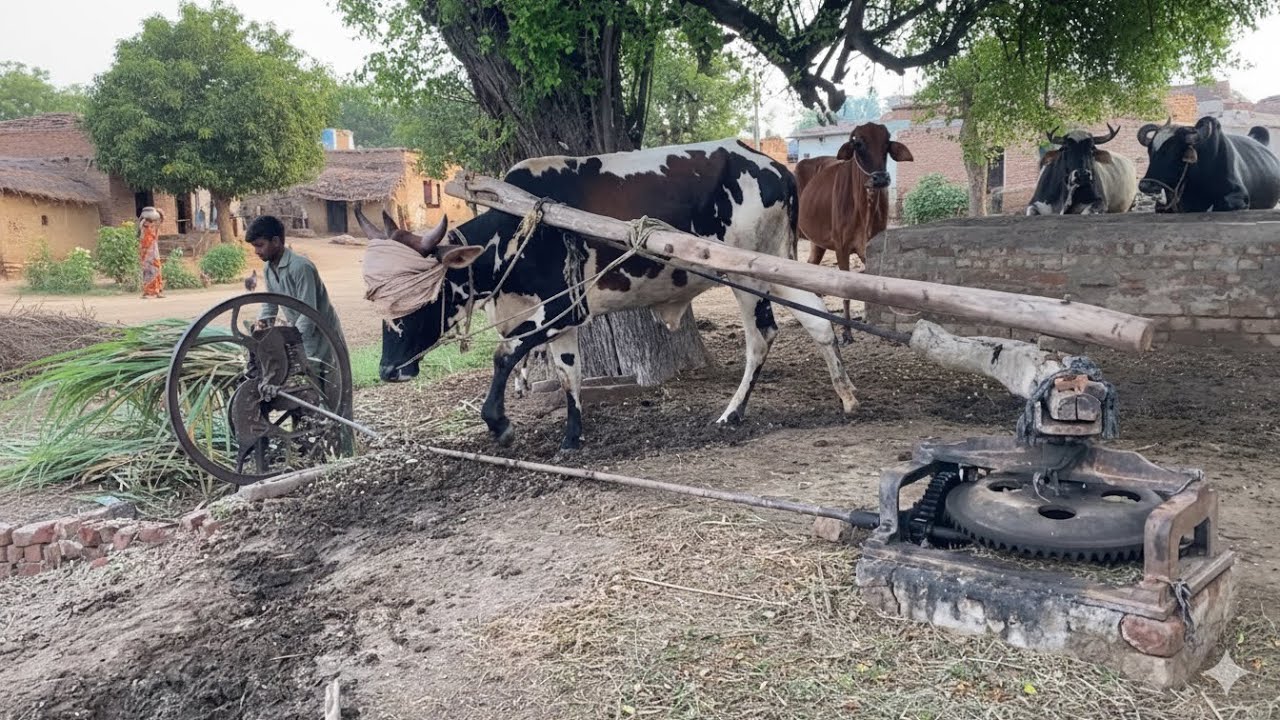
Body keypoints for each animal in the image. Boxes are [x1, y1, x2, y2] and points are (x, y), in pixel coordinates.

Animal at [358, 139, 859, 451]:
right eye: (378, 302)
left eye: (419, 301)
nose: (388, 372)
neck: (521, 227)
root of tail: (774, 166)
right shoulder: (559, 320)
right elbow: (568, 373)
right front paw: (572, 436)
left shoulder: (563, 307)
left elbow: (504, 355)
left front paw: (499, 424)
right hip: (778, 265)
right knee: (818, 320)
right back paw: (847, 396)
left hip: (748, 278)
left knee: (762, 337)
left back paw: (733, 412)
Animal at [794, 122, 913, 344]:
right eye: (858, 144)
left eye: (887, 143)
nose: (880, 178)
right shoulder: (841, 247)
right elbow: (846, 291)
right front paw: (847, 332)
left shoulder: (872, 246)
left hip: (818, 243)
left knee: (811, 265)